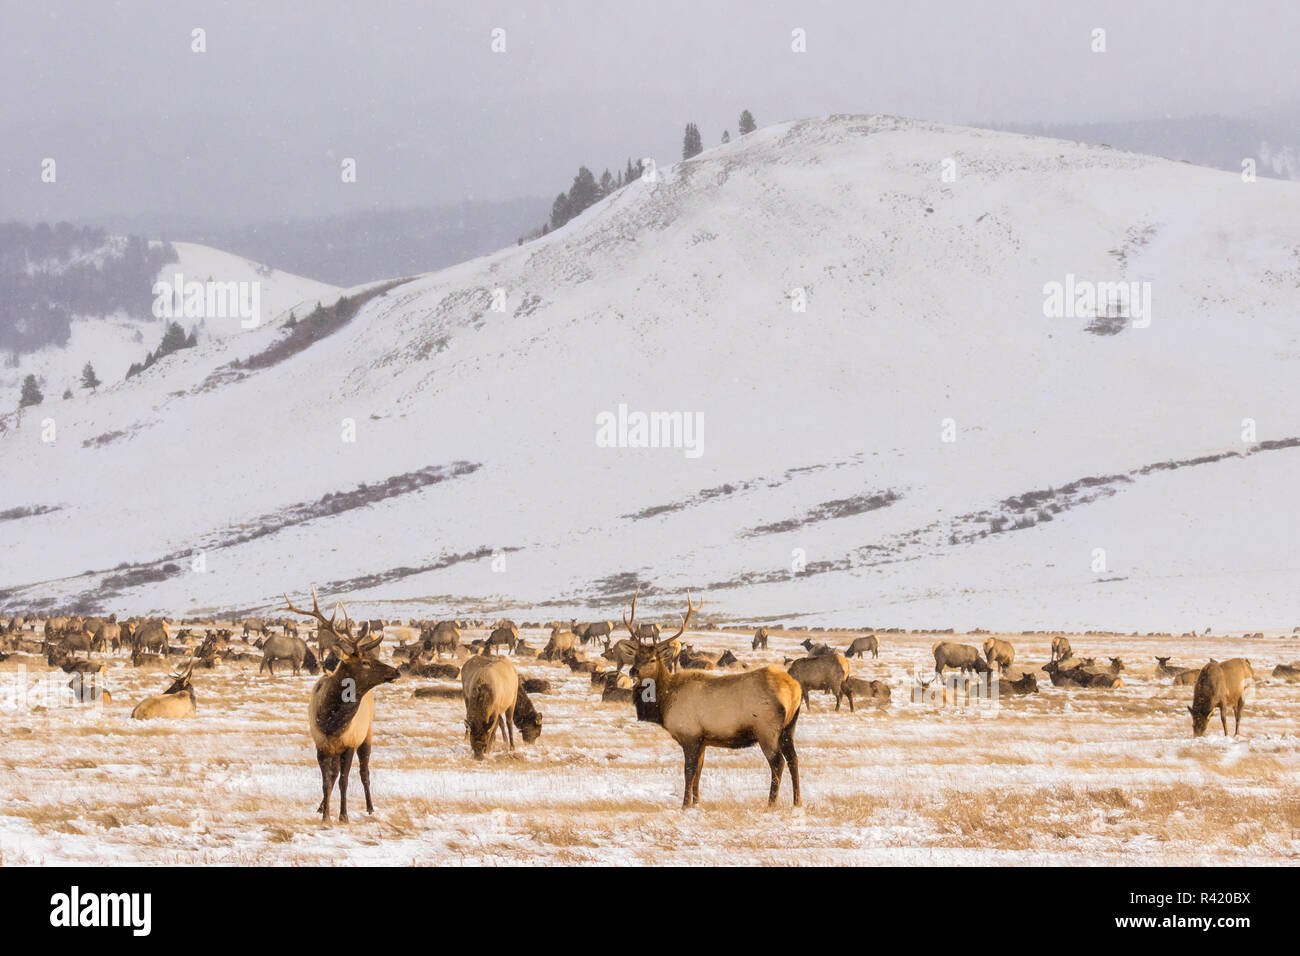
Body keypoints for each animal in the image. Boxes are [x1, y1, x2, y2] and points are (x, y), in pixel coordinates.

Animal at [286, 587, 400, 822]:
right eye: (365, 662)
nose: (396, 671)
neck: (332, 723)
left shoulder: (350, 742)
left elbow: (344, 781)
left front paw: (343, 816)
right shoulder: (321, 745)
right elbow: (326, 781)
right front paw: (325, 816)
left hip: (367, 734)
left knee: (364, 772)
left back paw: (370, 808)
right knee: (335, 774)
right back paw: (322, 806)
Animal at [624, 590, 803, 809]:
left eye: (652, 659)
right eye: (635, 657)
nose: (633, 671)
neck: (664, 703)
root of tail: (794, 688)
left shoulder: (690, 735)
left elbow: (689, 772)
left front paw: (685, 805)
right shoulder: (703, 739)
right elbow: (699, 773)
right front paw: (696, 802)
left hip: (766, 728)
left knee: (778, 762)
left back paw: (771, 803)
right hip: (789, 727)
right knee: (794, 759)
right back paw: (797, 801)